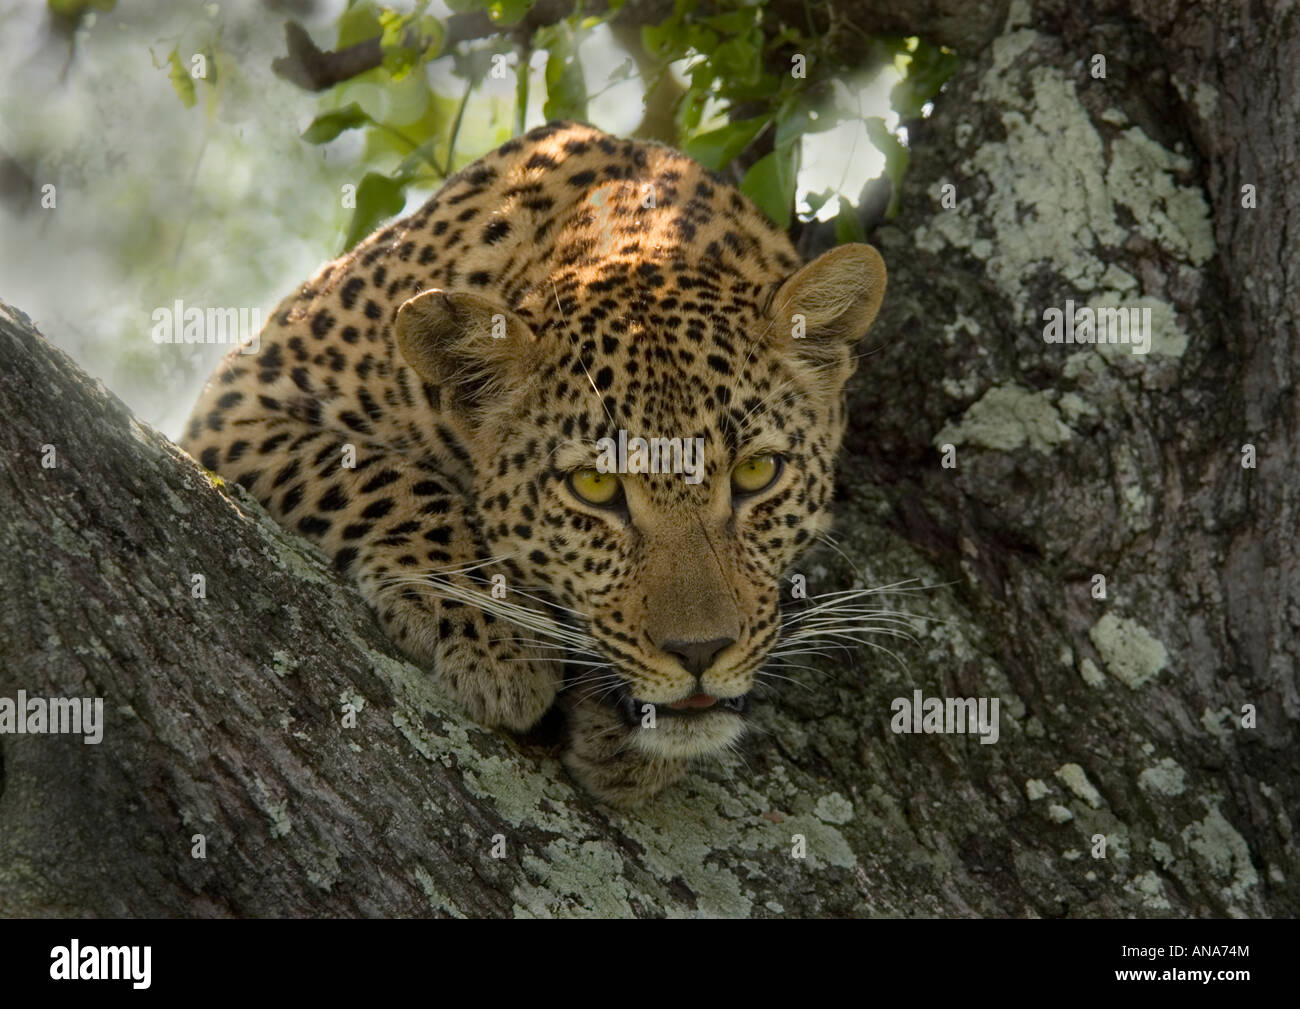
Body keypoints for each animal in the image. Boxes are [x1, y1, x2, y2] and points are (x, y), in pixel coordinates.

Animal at [181, 119, 886, 807]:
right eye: (594, 486)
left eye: (755, 475)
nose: (700, 652)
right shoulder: (240, 405)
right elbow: (383, 479)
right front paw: (497, 637)